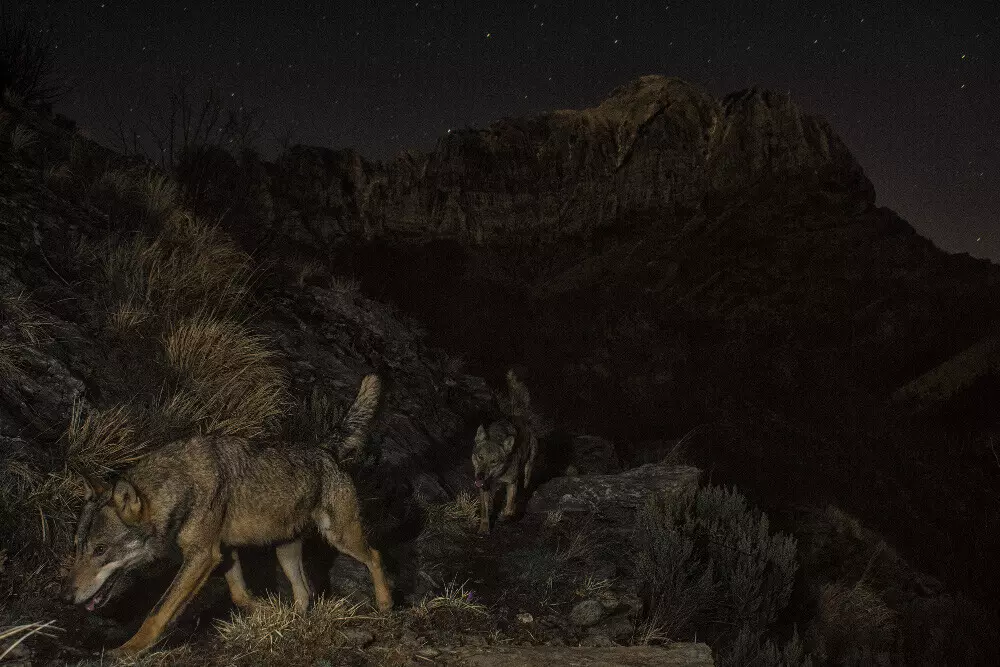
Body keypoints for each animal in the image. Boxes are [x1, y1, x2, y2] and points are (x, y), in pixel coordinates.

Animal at [60, 376, 392, 656]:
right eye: (77, 548)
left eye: (100, 550)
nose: (66, 599)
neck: (180, 484)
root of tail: (324, 448)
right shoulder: (224, 551)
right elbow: (239, 595)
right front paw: (267, 612)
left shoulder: (202, 556)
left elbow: (157, 611)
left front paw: (128, 650)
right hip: (285, 552)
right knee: (304, 593)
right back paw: (294, 624)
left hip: (340, 537)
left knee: (375, 556)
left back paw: (385, 605)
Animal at [472, 368, 544, 536]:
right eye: (480, 457)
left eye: (494, 461)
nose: (480, 475)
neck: (497, 476)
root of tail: (519, 416)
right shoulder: (484, 486)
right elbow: (485, 510)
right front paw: (484, 529)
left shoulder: (512, 482)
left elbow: (510, 504)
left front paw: (506, 515)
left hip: (528, 466)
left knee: (526, 481)